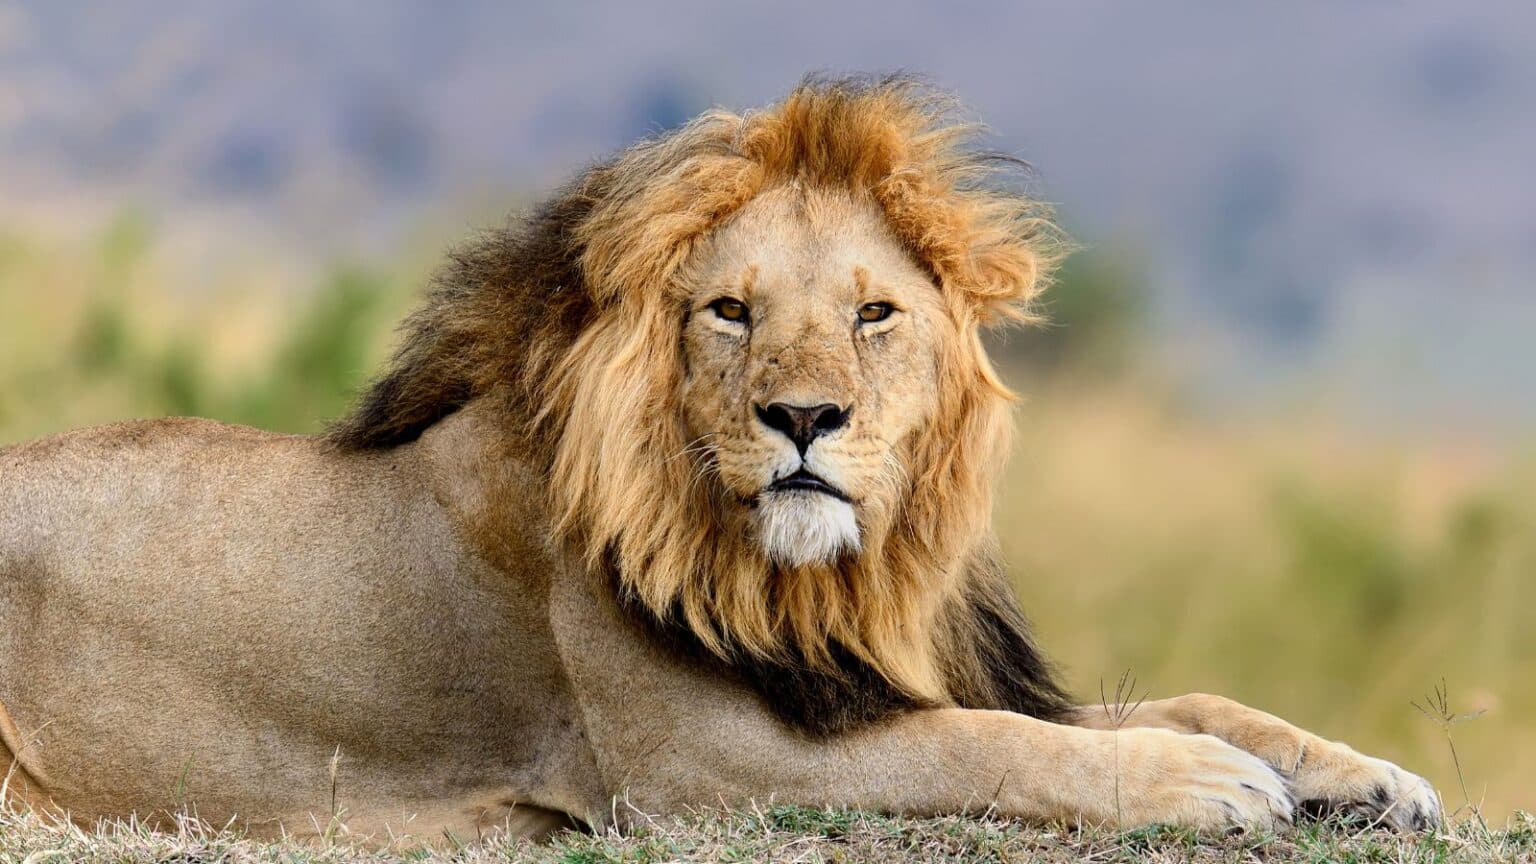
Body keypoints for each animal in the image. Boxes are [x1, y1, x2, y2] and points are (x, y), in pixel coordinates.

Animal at [0, 77, 1439, 843]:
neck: (826, 578)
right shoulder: (703, 769)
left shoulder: (860, 676)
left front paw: (1366, 774)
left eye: (874, 313)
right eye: (731, 312)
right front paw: (1198, 783)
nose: (804, 418)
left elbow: (1187, 699)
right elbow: (990, 746)